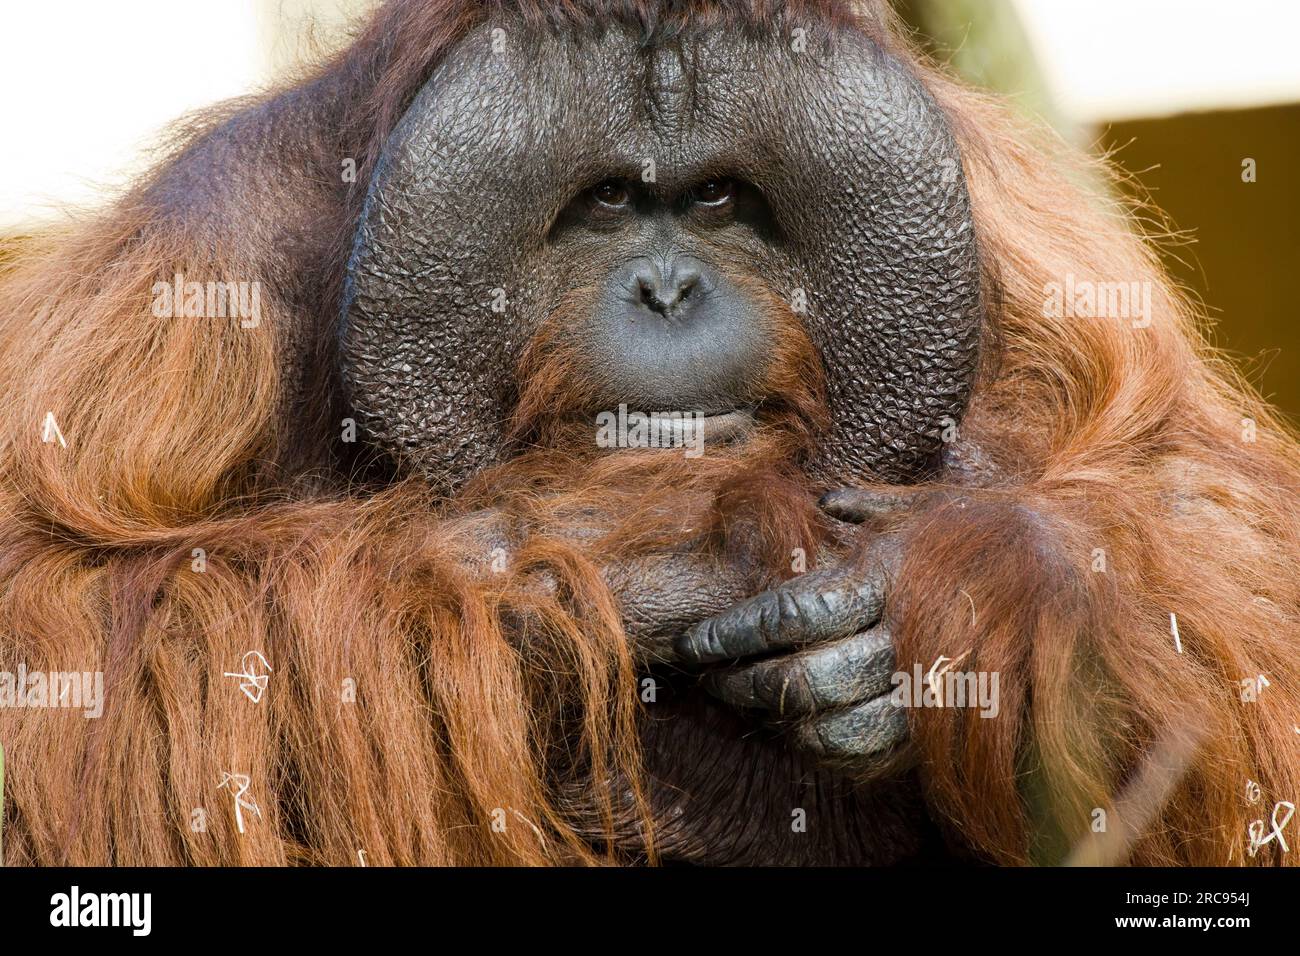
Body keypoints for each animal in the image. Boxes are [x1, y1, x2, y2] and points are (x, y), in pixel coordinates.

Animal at [0, 0, 1297, 867]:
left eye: (718, 197)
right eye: (608, 201)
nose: (668, 290)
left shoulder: (1035, 245)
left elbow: (1215, 539)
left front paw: (942, 573)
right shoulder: (200, 258)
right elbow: (70, 621)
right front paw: (667, 557)